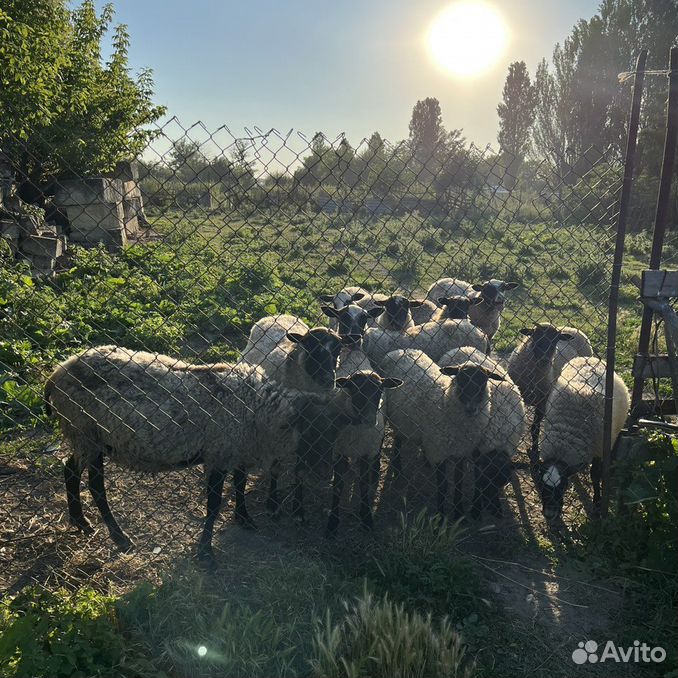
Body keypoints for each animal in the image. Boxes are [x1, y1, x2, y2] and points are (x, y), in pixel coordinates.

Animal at [382, 349, 504, 517]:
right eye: (460, 380)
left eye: (483, 382)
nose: (471, 409)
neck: (445, 403)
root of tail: (399, 351)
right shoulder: (439, 451)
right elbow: (444, 486)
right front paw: (440, 515)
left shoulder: (461, 452)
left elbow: (458, 482)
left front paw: (459, 512)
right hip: (394, 418)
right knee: (398, 440)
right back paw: (398, 468)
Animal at [439, 348, 527, 518]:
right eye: (461, 380)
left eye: (484, 382)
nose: (471, 409)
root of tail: (464, 347)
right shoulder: (477, 452)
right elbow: (475, 478)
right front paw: (476, 508)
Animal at [507, 323, 593, 466]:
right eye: (535, 336)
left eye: (555, 340)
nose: (544, 360)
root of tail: (571, 328)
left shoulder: (542, 402)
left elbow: (535, 429)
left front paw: (534, 450)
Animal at [537, 356, 630, 525]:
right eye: (541, 485)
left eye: (563, 487)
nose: (549, 514)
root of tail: (589, 358)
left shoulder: (598, 449)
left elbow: (595, 475)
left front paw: (597, 504)